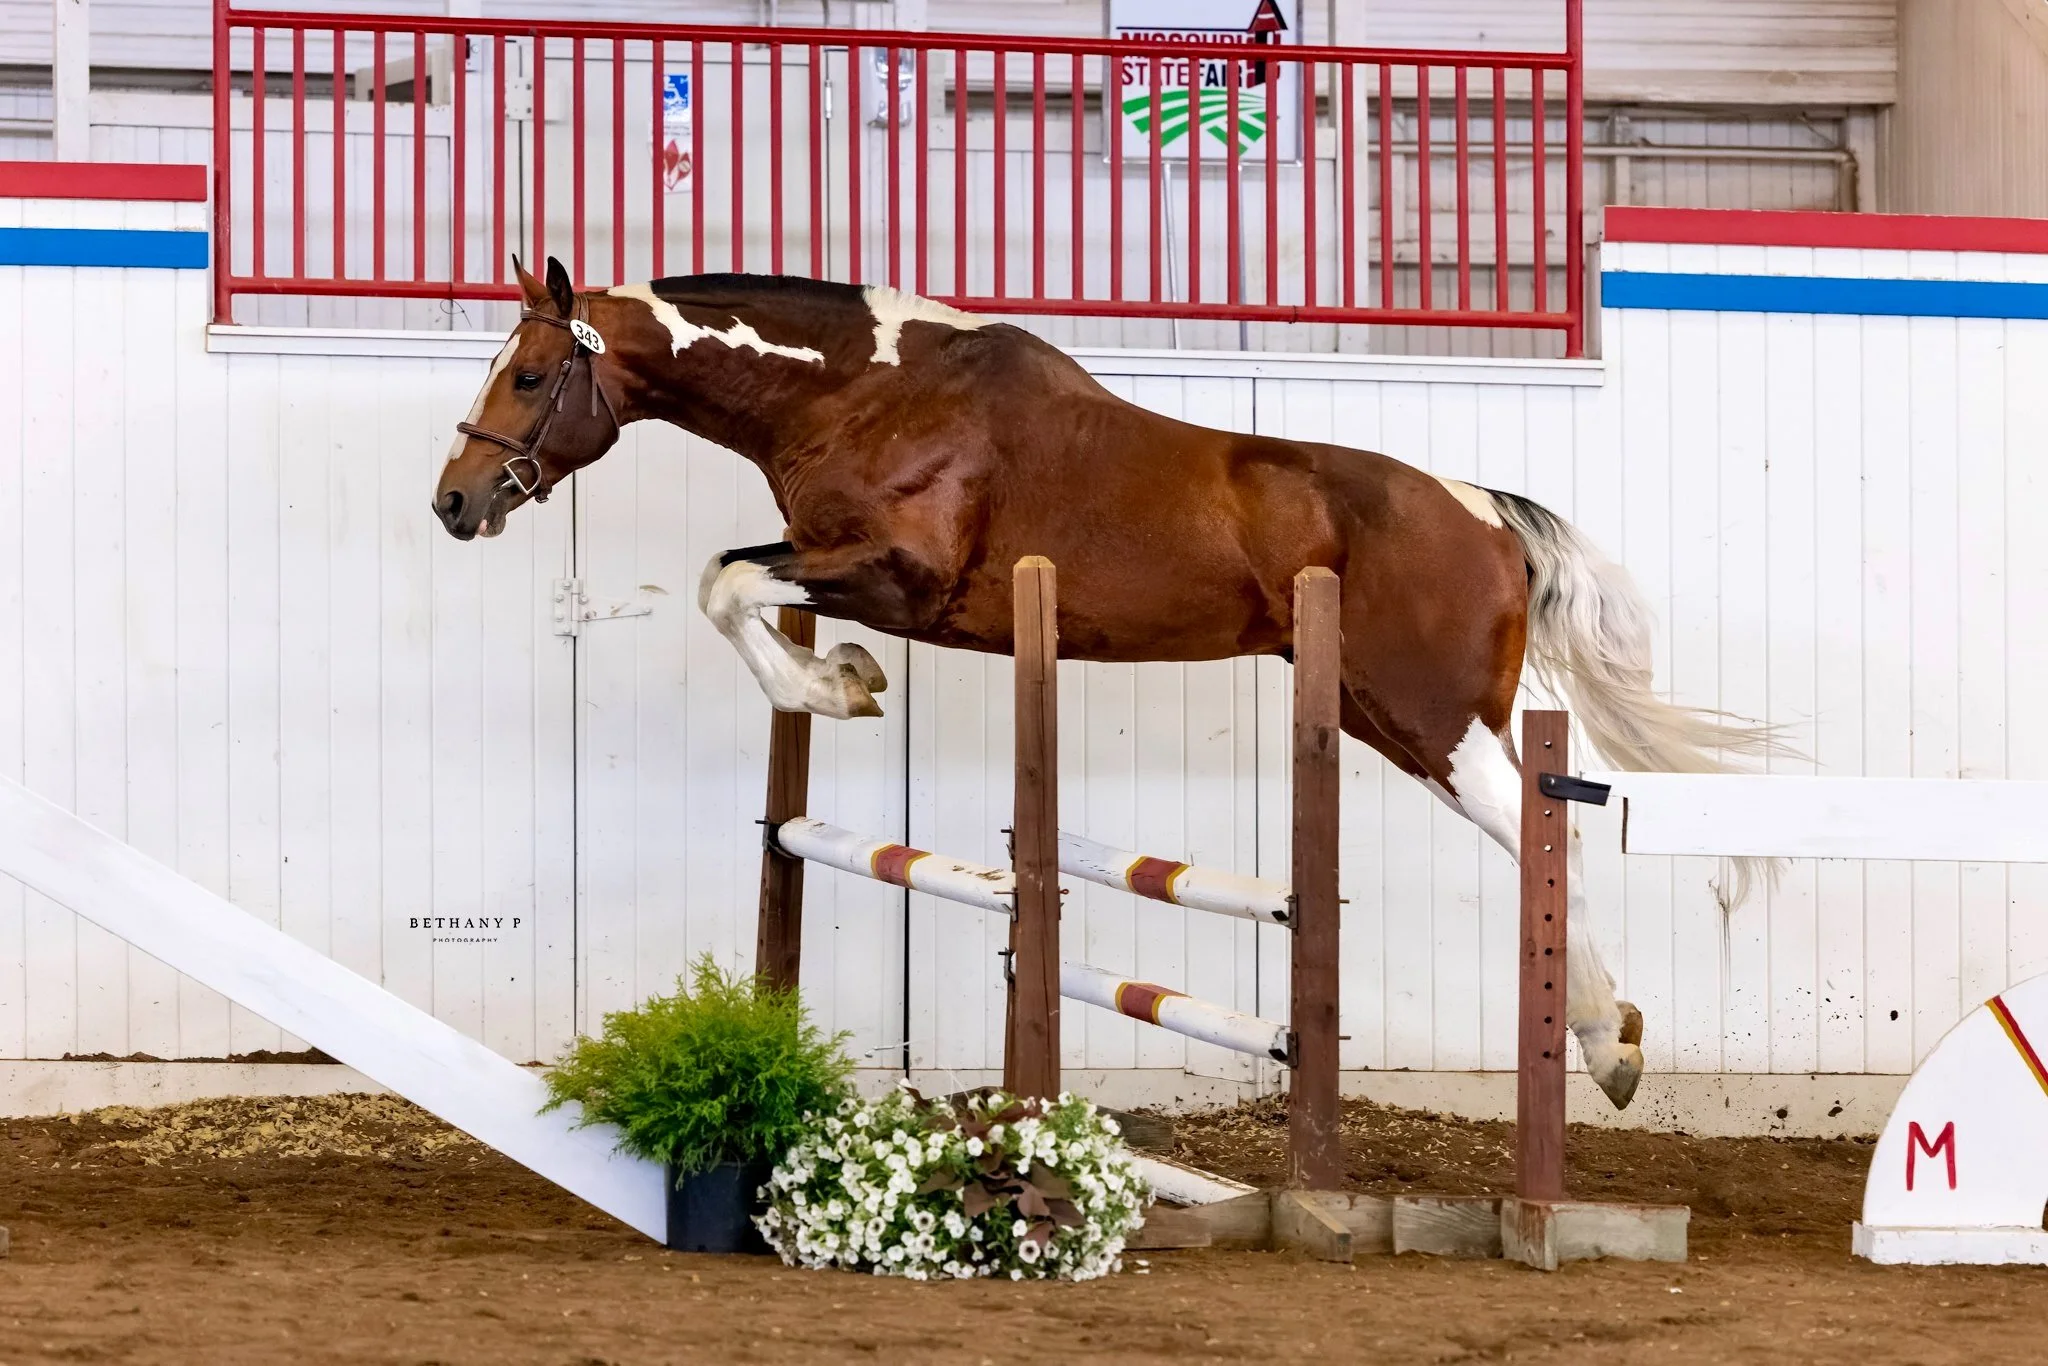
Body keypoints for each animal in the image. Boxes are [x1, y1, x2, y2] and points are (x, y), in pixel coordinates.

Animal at [435, 257, 1776, 1110]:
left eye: (527, 377)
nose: (453, 502)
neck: (860, 392)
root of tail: (1485, 514)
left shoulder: (900, 576)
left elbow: (720, 582)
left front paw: (840, 685)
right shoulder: (842, 567)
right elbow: (736, 585)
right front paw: (842, 678)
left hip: (1431, 720)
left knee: (1546, 835)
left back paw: (1604, 1043)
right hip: (1382, 714)